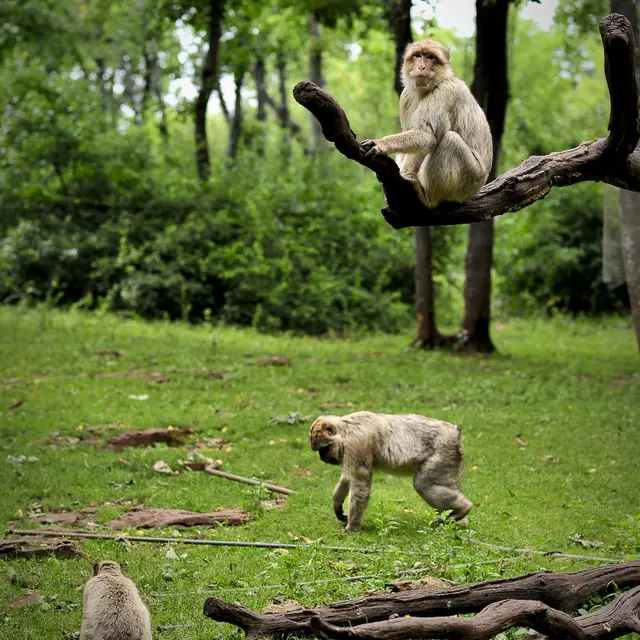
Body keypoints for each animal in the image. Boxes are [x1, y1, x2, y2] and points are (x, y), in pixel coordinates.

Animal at [309, 411, 472, 532]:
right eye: (320, 451)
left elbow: (360, 481)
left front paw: (352, 527)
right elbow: (348, 477)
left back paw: (463, 509)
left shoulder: (356, 446)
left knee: (423, 484)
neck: (346, 429)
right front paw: (337, 505)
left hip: (442, 456)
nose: (322, 458)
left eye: (323, 449)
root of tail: (455, 433)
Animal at [361, 38, 492, 208]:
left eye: (430, 57)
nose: (421, 67)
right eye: (417, 55)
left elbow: (427, 136)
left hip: (469, 180)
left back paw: (428, 198)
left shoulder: (444, 92)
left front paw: (380, 144)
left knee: (450, 140)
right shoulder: (406, 96)